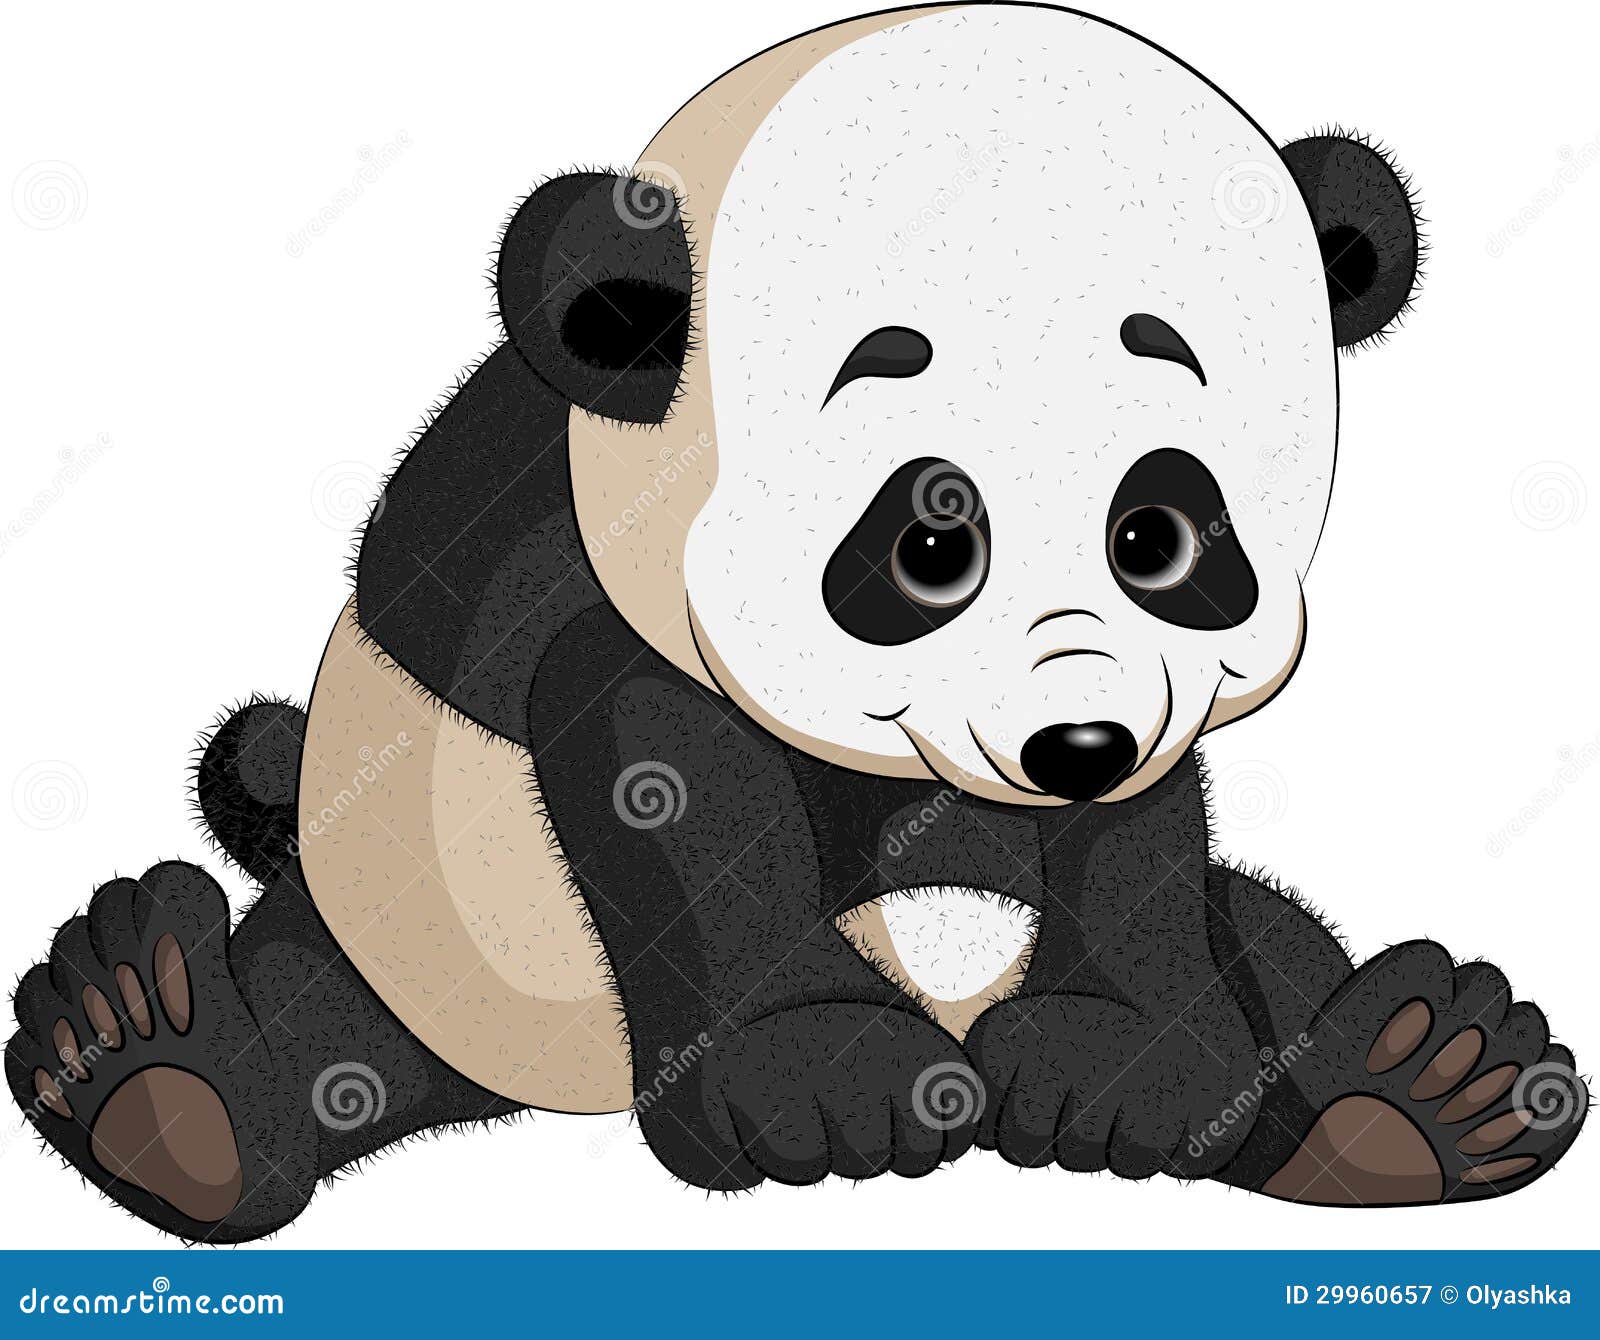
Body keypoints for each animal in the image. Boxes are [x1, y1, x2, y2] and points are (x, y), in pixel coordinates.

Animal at [7, 3, 1587, 1241]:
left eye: (1162, 534)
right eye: (929, 541)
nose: (1072, 743)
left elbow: (1146, 844)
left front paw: (1109, 1076)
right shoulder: (592, 580)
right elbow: (659, 758)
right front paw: (825, 1088)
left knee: (1267, 937)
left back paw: (1425, 1085)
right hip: (423, 920)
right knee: (316, 1018)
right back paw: (149, 1057)